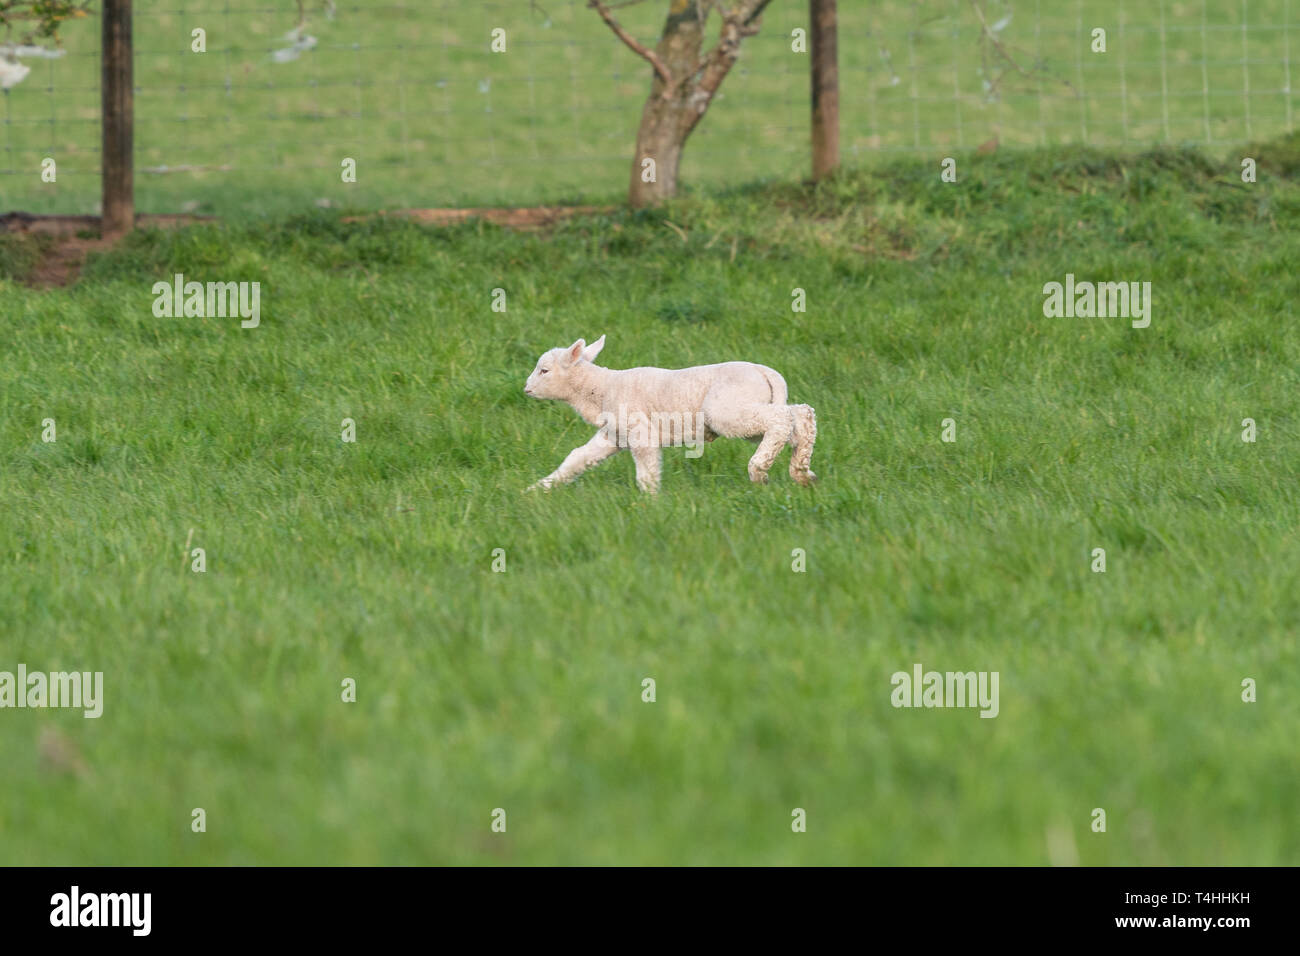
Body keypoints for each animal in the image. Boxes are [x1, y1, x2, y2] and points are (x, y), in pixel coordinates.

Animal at [523, 335, 817, 494]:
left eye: (544, 371)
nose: (526, 389)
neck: (601, 389)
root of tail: (766, 372)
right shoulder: (613, 435)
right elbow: (575, 459)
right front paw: (537, 489)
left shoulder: (640, 430)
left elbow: (646, 471)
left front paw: (650, 504)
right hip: (755, 405)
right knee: (797, 417)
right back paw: (802, 472)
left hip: (729, 410)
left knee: (780, 420)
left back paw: (759, 470)